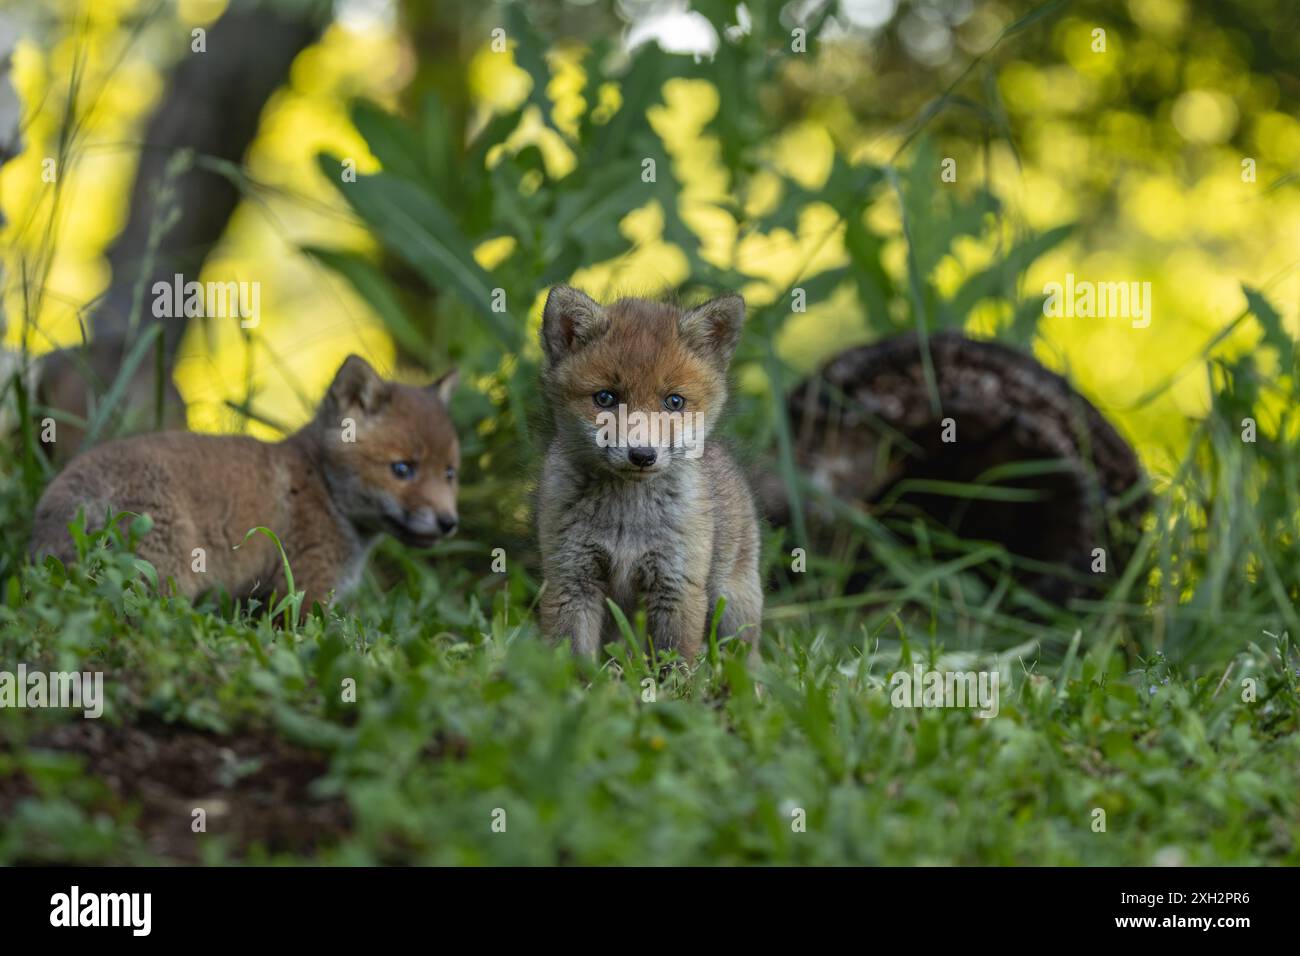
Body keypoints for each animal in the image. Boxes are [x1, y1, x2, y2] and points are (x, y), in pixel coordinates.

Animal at [29, 355, 460, 611]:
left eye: (450, 474)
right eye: (402, 469)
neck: (324, 486)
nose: (448, 523)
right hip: (166, 576)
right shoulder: (303, 588)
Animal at [537, 286, 763, 659]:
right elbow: (573, 657)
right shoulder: (571, 577)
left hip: (732, 609)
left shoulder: (677, 583)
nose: (642, 455)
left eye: (674, 402)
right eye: (605, 398)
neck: (627, 521)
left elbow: (675, 661)